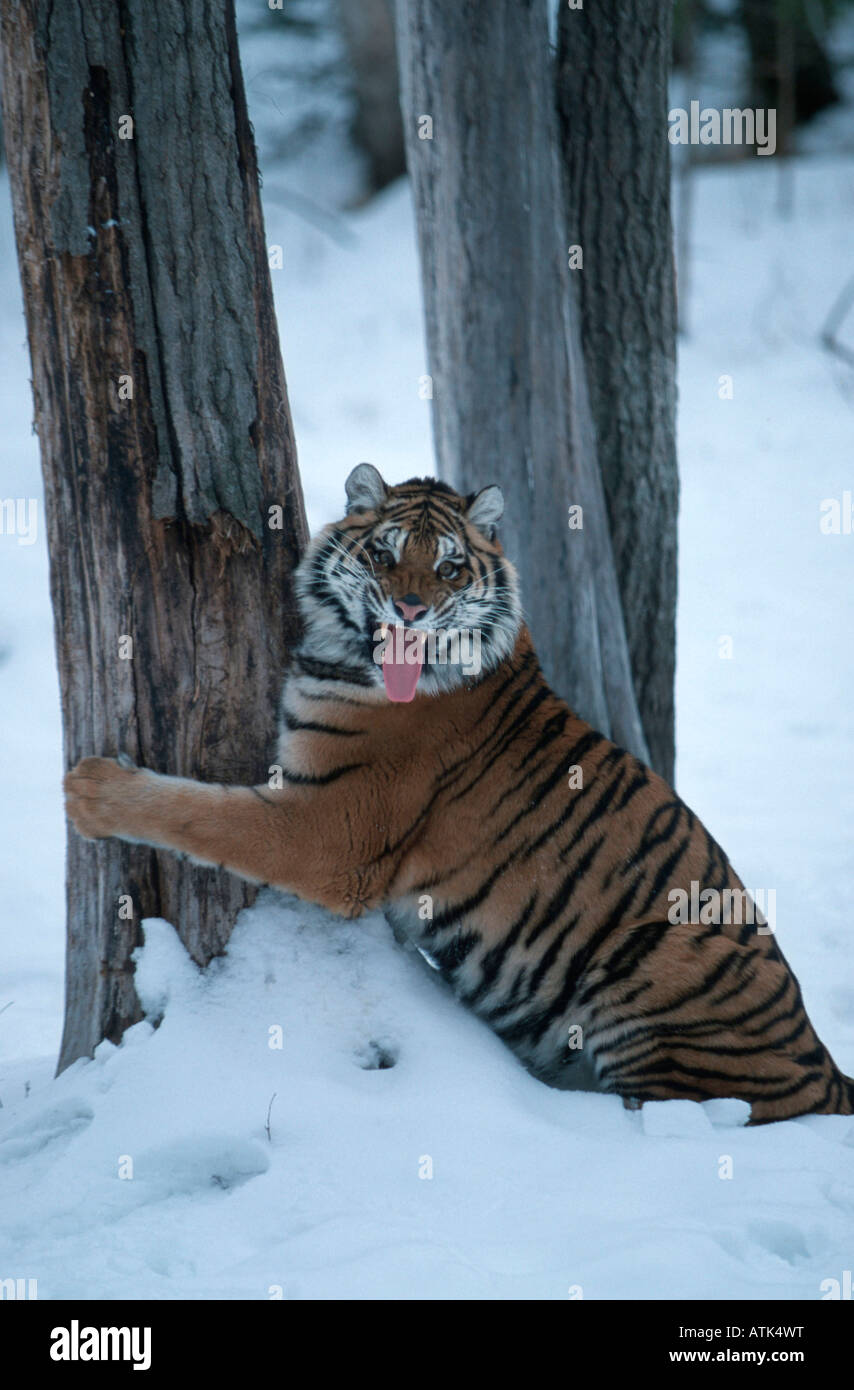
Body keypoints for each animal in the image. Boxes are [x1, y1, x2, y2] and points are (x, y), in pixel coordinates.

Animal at [65, 464, 854, 1124]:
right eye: (384, 556)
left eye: (448, 567)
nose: (412, 610)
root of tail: (826, 1067)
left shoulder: (330, 828)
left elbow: (200, 812)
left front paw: (89, 790)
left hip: (652, 968)